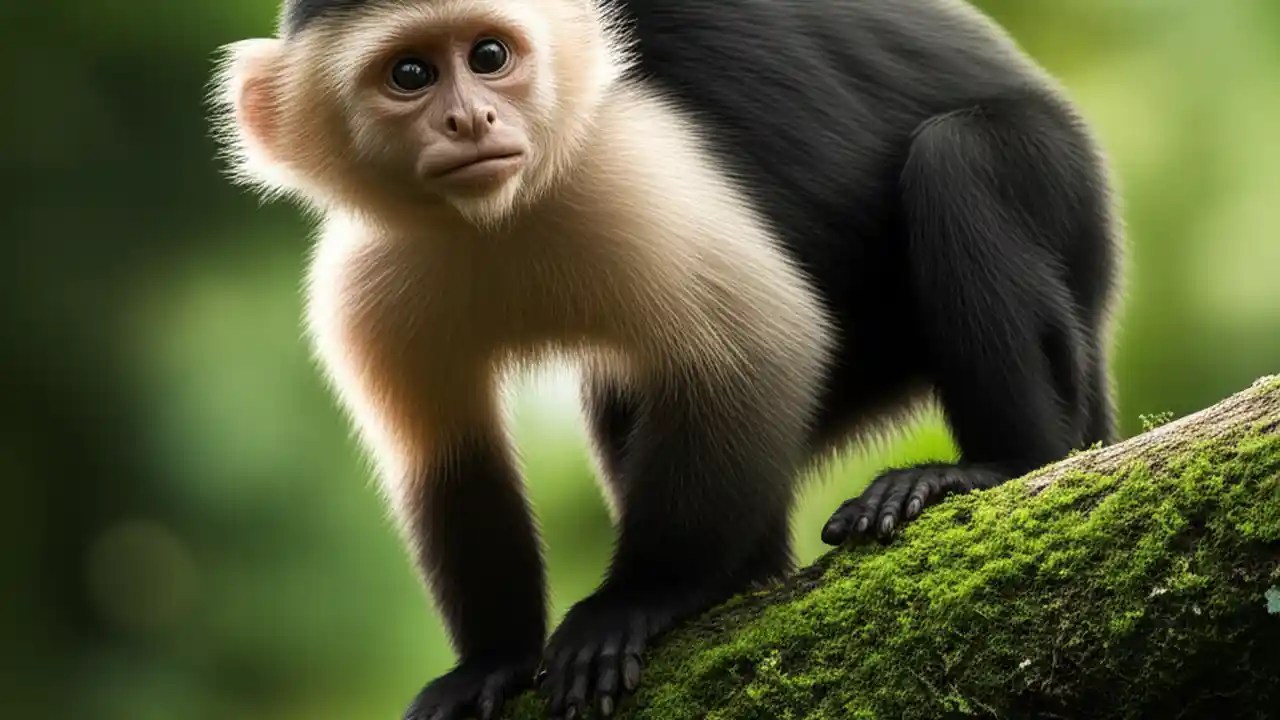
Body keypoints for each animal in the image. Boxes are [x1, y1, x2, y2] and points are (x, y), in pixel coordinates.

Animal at [210, 0, 1122, 717]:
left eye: (490, 57)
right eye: (410, 74)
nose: (470, 122)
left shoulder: (631, 161)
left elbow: (765, 347)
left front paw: (639, 599)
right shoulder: (365, 279)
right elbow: (449, 455)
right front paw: (491, 661)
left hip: (1062, 190)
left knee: (956, 159)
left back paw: (992, 465)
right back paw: (748, 579)